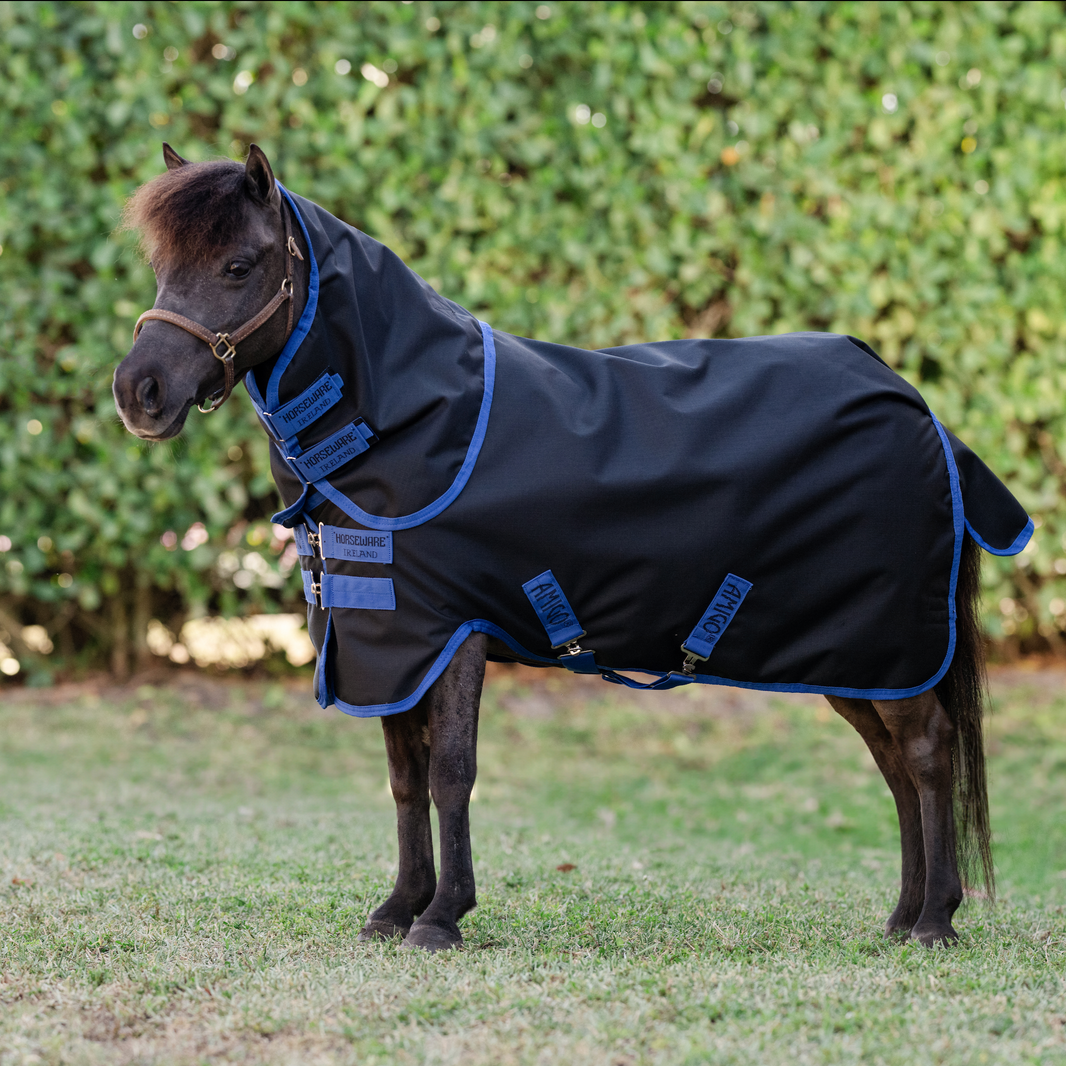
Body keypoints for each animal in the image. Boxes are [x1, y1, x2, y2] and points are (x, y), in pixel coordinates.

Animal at [112, 144, 1031, 951]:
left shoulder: (452, 633)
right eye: (162, 267)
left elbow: (450, 772)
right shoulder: (390, 640)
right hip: (854, 658)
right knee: (894, 765)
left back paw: (936, 921)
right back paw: (901, 916)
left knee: (927, 753)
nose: (139, 393)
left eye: (240, 265)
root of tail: (921, 412)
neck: (413, 421)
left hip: (888, 645)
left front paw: (441, 918)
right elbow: (405, 776)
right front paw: (396, 909)